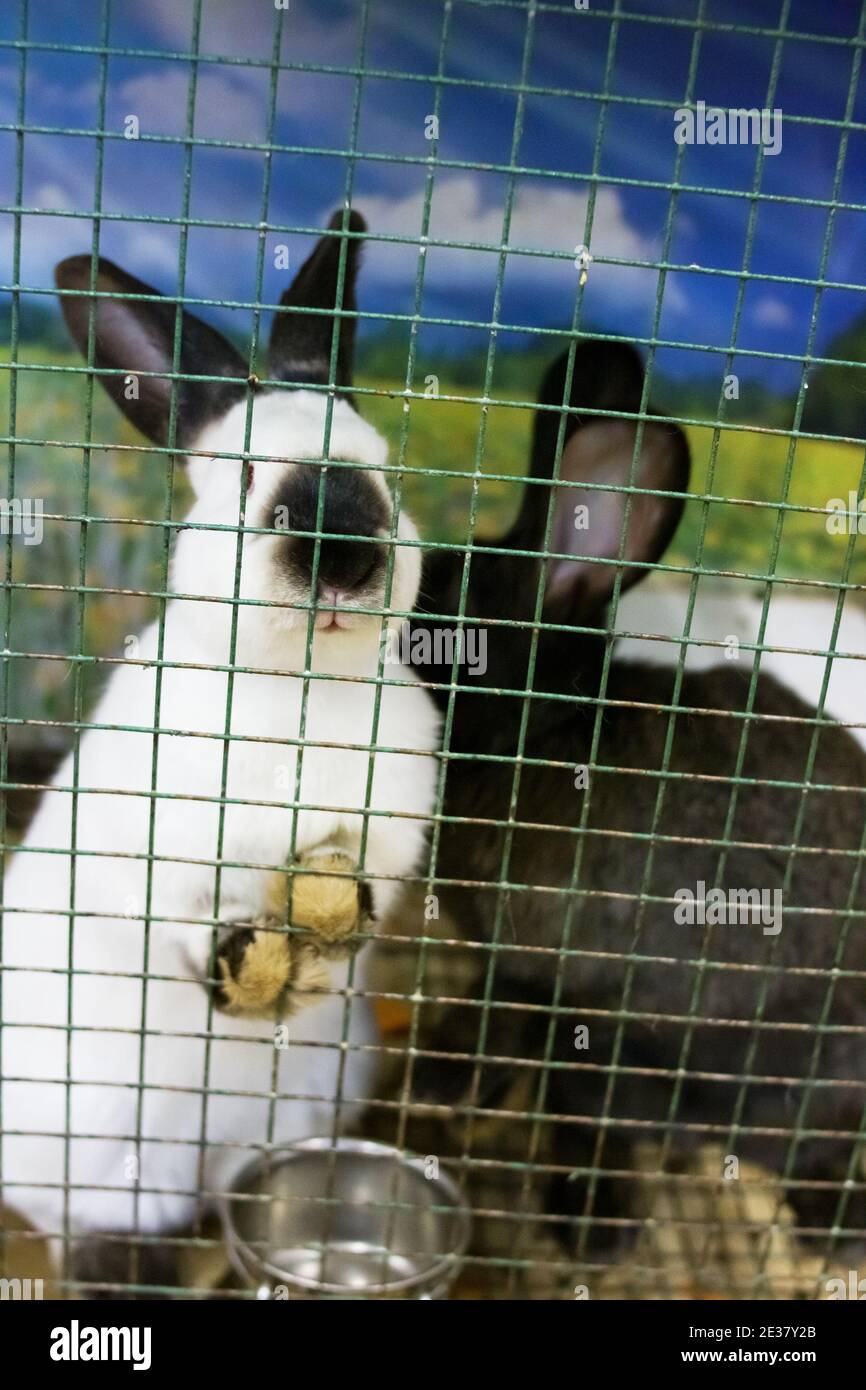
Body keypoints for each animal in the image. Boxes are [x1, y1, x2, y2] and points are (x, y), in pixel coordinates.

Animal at [0, 210, 440, 1287]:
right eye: (244, 478)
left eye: (384, 469)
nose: (344, 555)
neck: (298, 689)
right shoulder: (147, 854)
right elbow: (181, 917)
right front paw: (244, 962)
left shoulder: (388, 831)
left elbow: (356, 886)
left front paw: (322, 922)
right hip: (87, 1147)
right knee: (84, 1221)